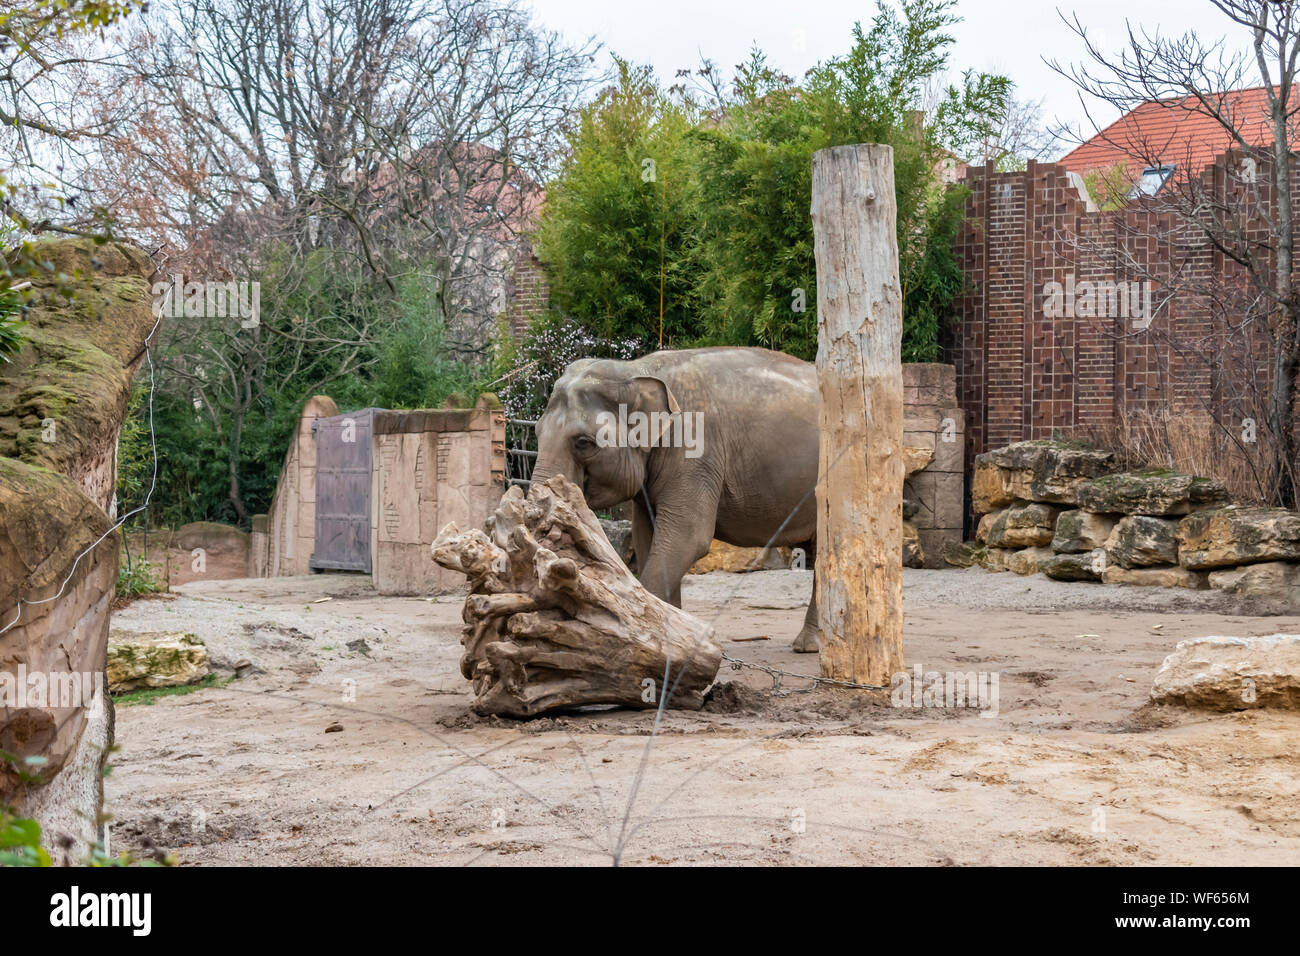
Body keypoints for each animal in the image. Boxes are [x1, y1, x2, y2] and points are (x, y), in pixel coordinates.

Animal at [531, 346, 823, 652]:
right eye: (536, 431)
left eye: (583, 443)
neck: (635, 370)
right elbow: (646, 540)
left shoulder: (696, 453)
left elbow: (686, 539)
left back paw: (808, 647)